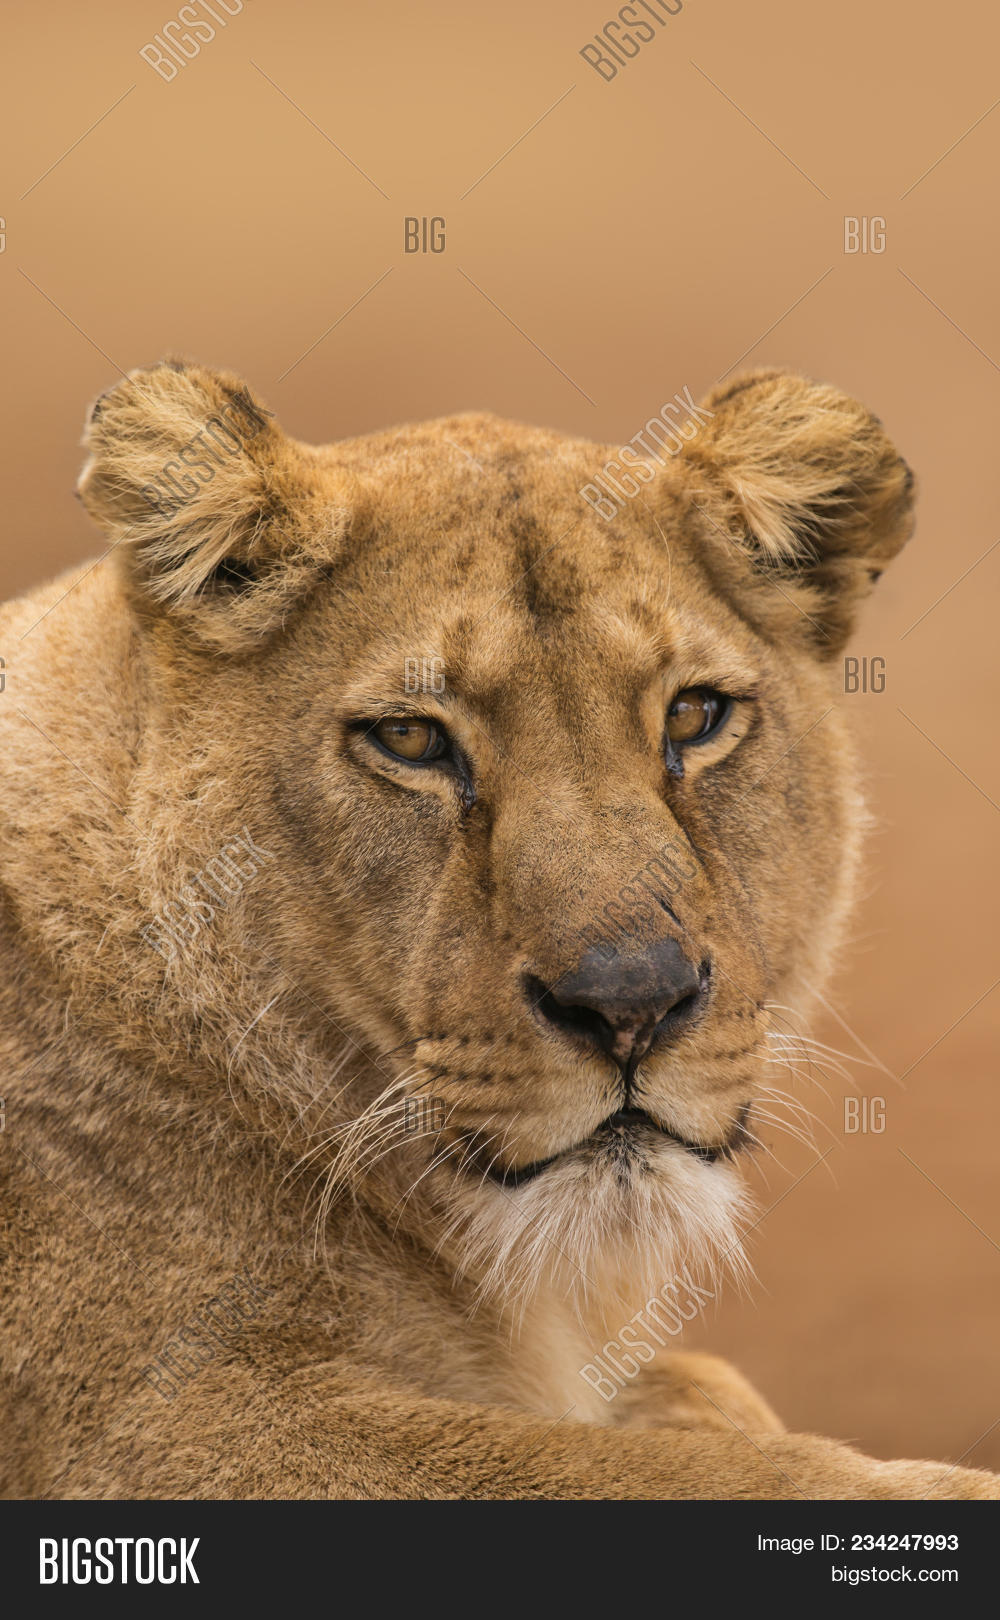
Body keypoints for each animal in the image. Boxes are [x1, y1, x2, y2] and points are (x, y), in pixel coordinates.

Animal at [0, 359, 995, 1500]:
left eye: (693, 716)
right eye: (409, 738)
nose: (631, 1005)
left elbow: (698, 1399)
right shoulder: (160, 1420)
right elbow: (669, 1474)